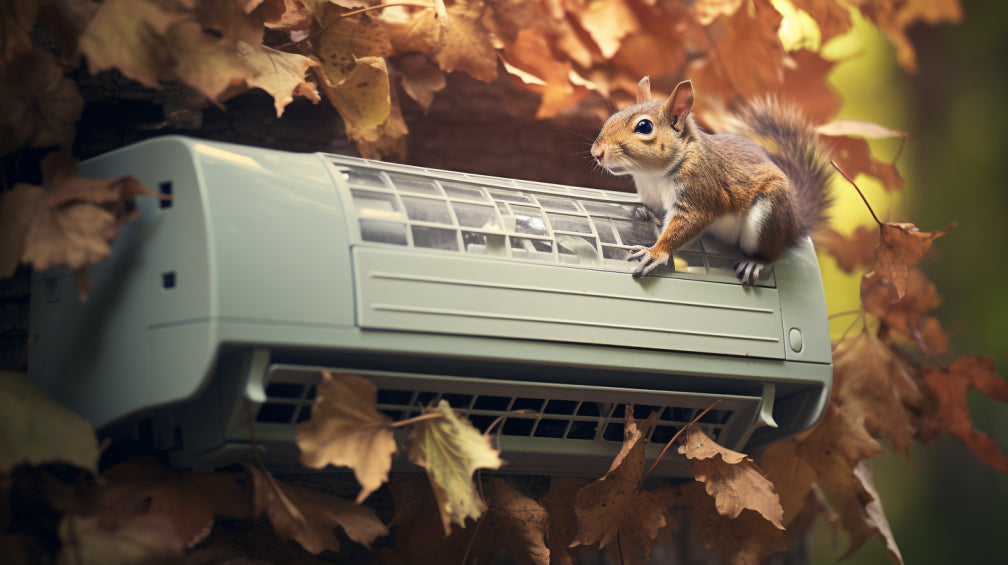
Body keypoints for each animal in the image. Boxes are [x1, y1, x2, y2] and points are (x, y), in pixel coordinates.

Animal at [590, 77, 833, 285]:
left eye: (644, 127)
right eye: (612, 117)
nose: (596, 152)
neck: (653, 174)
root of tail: (796, 224)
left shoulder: (698, 189)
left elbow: (689, 222)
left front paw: (654, 253)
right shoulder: (651, 193)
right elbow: (655, 210)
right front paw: (643, 212)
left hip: (769, 216)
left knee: (775, 252)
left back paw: (755, 262)